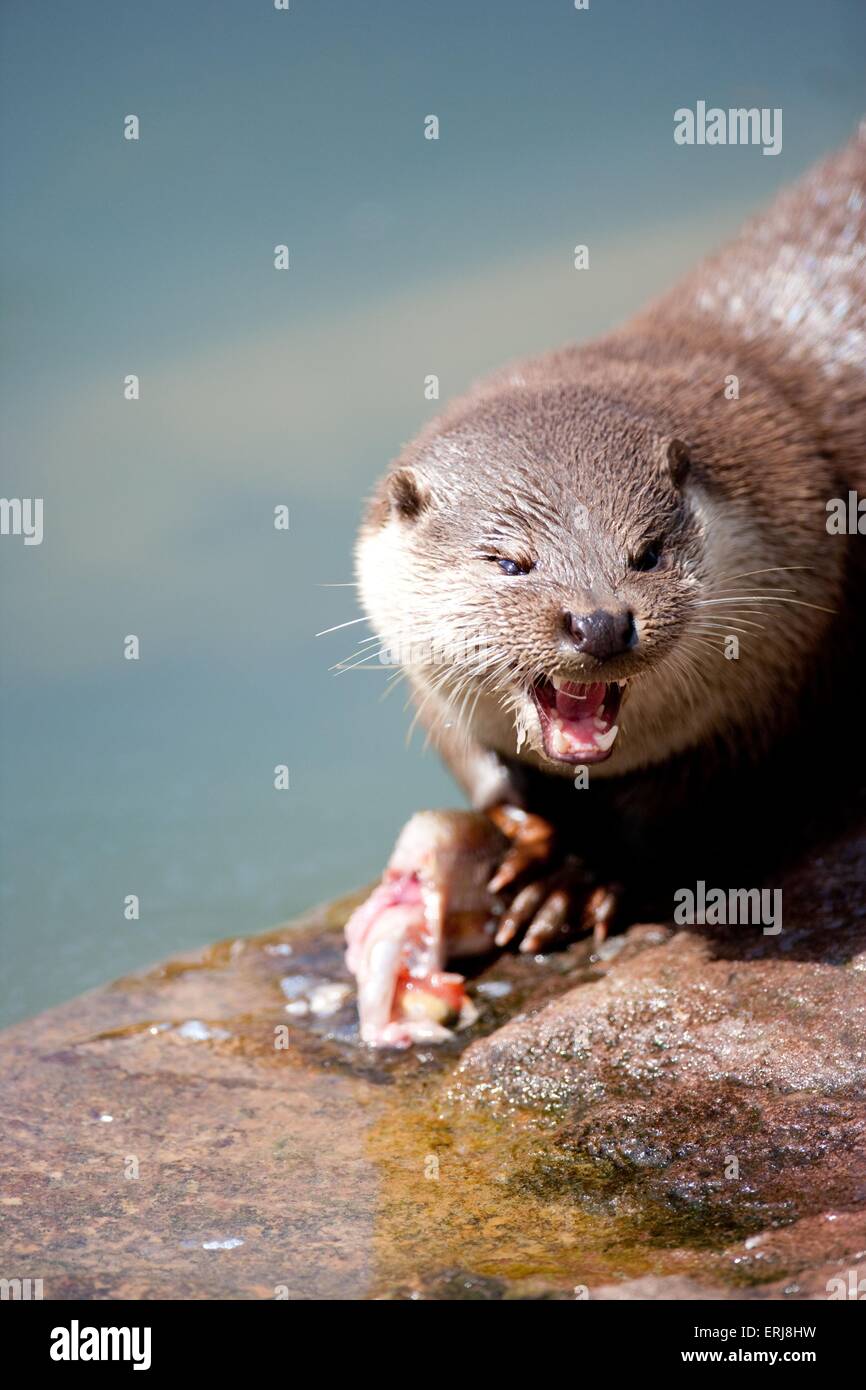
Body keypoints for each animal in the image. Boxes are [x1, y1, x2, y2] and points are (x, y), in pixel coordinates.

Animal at [348, 127, 866, 1042]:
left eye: (647, 552)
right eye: (510, 562)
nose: (599, 623)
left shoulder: (788, 674)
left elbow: (684, 807)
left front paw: (573, 879)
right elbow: (478, 764)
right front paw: (530, 838)